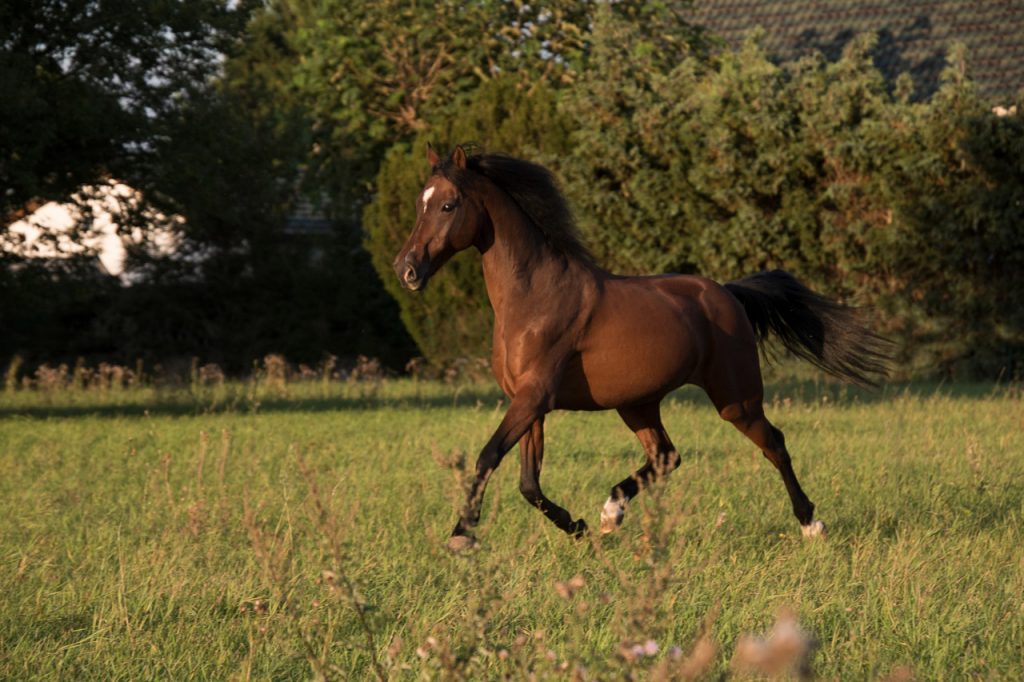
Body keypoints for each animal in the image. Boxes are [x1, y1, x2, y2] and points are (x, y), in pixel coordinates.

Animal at [393, 145, 889, 551]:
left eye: (448, 204)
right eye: (420, 202)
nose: (407, 269)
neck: (534, 296)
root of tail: (728, 294)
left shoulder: (534, 397)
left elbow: (488, 457)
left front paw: (462, 534)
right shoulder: (528, 403)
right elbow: (528, 482)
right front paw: (579, 527)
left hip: (736, 399)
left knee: (774, 444)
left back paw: (810, 524)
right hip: (637, 402)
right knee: (667, 455)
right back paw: (611, 512)